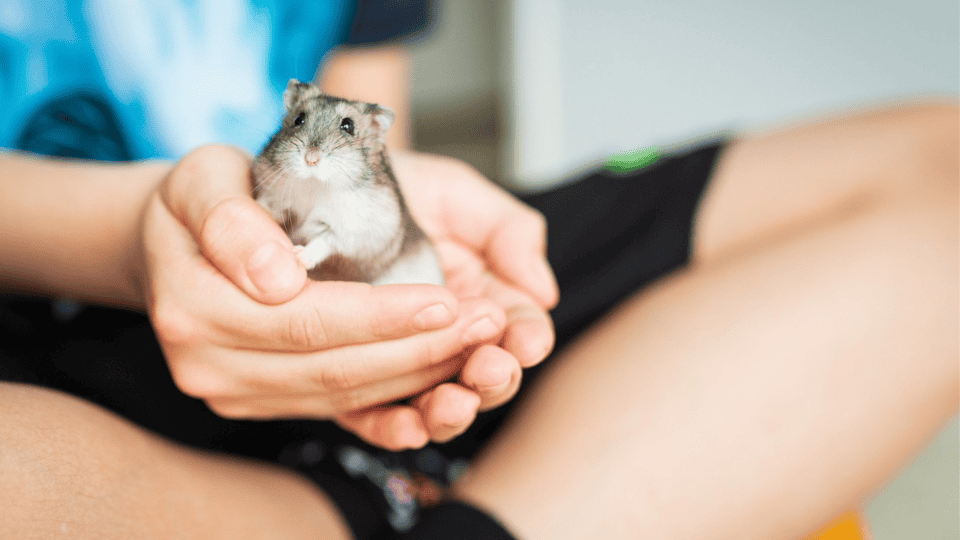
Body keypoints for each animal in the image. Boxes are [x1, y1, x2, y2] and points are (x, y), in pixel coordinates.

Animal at [253, 79, 445, 286]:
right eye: (298, 119)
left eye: (348, 126)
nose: (311, 159)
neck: (314, 184)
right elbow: (271, 206)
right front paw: (258, 206)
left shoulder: (349, 231)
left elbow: (323, 242)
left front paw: (299, 256)